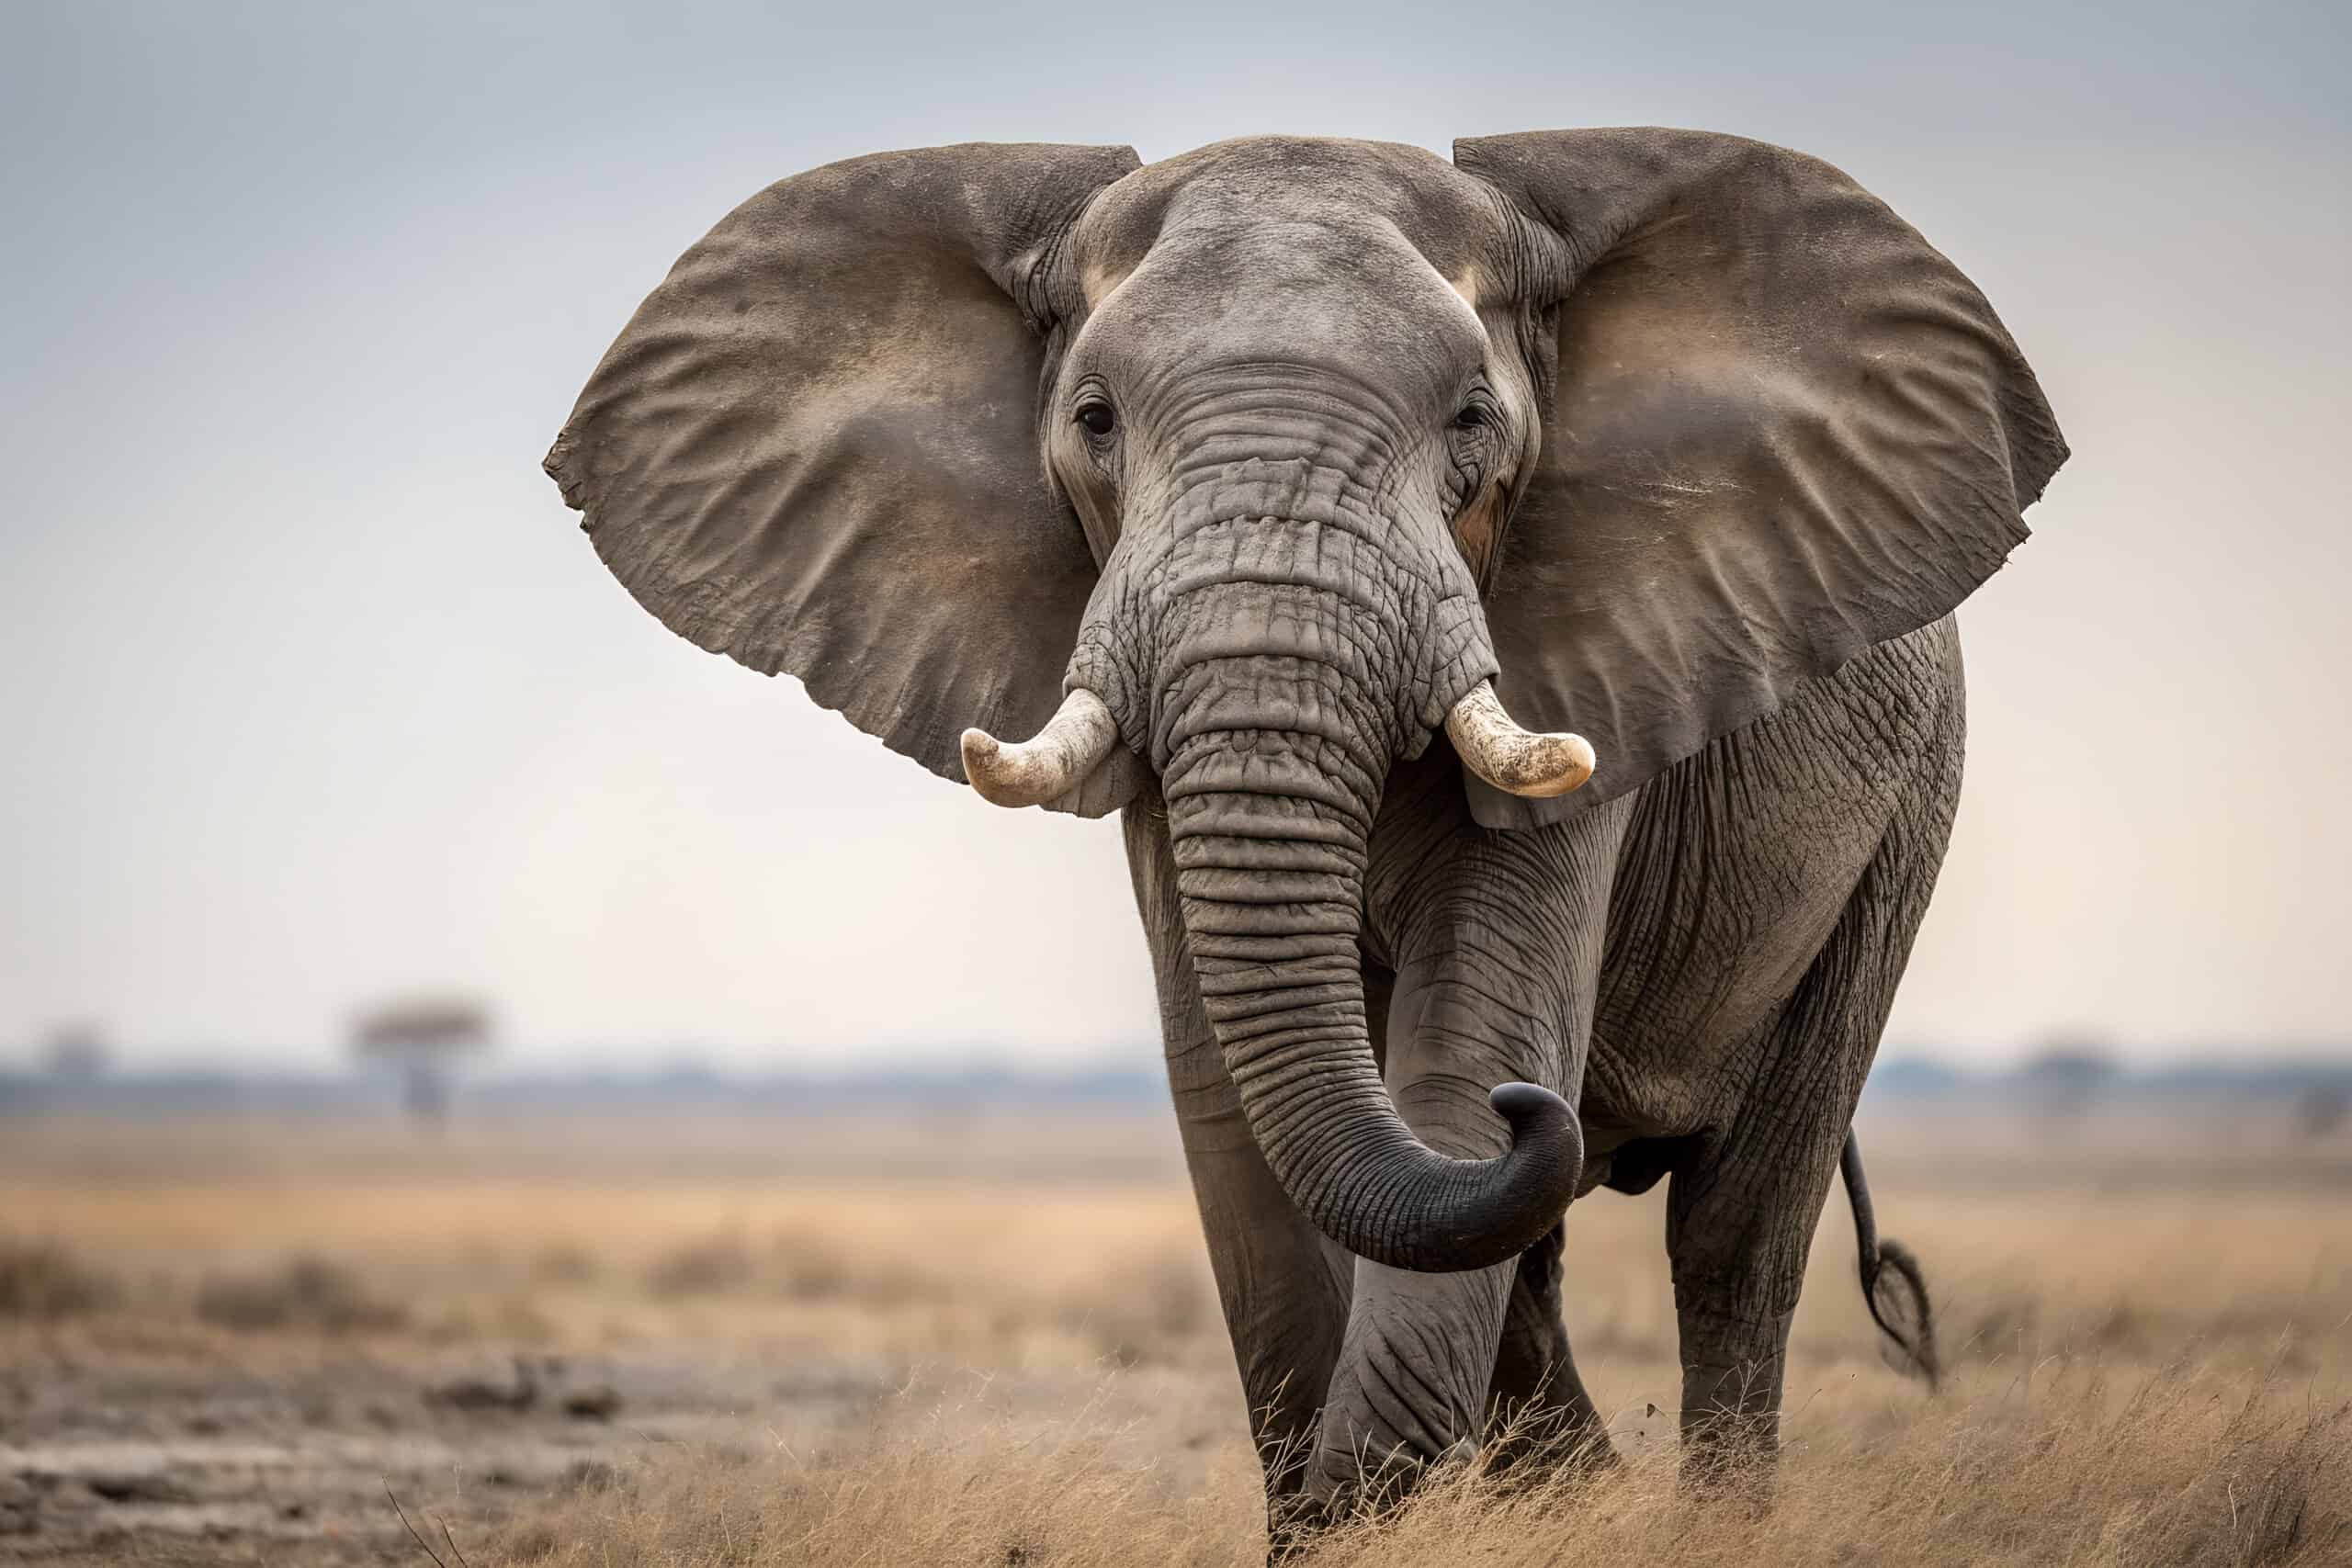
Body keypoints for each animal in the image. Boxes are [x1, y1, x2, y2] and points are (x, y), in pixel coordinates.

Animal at [546, 129, 2064, 1545]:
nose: (1532, 1107)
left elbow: (1464, 1048)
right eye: (1092, 418)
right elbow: (1231, 1109)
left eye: (1473, 418)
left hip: (1902, 819)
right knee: (1540, 1249)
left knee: (1736, 1231)